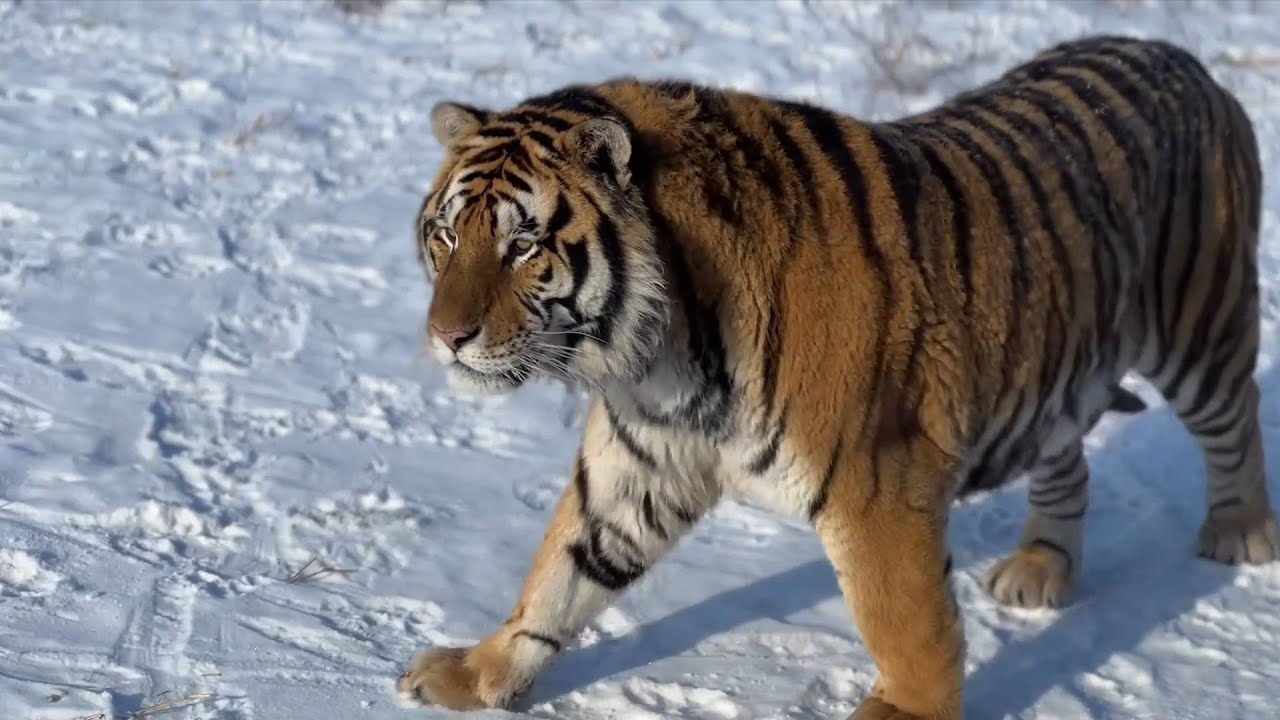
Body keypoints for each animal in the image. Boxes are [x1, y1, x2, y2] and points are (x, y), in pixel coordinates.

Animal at [398, 35, 1277, 720]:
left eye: (522, 245)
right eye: (447, 235)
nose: (447, 337)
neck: (658, 354)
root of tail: (1183, 58)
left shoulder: (879, 480)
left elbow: (905, 622)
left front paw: (906, 712)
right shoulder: (639, 460)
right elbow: (560, 576)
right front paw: (477, 673)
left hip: (1198, 323)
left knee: (1235, 418)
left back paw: (1240, 535)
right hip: (1053, 357)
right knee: (1070, 454)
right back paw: (1041, 570)